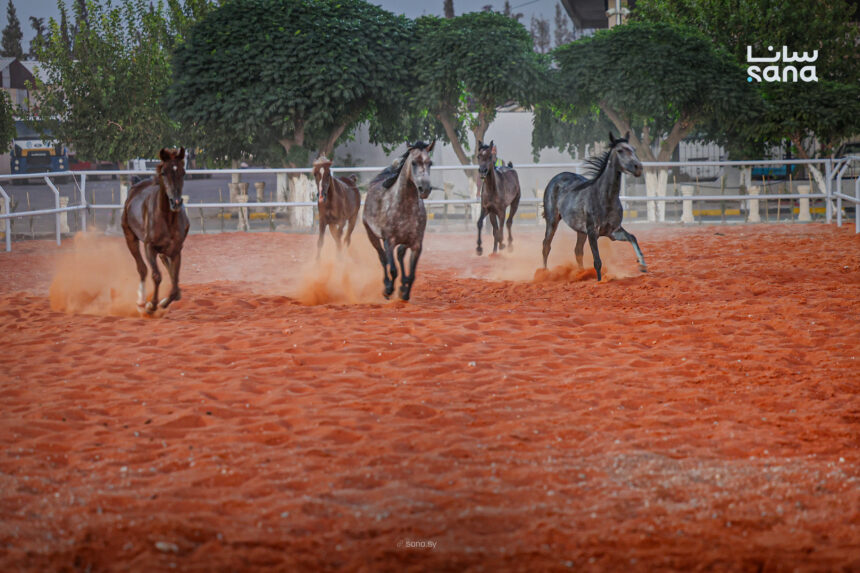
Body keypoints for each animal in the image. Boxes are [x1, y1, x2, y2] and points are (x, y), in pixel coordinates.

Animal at [121, 147, 190, 314]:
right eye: (163, 172)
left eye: (183, 172)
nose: (176, 202)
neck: (166, 219)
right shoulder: (149, 247)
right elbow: (156, 275)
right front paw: (151, 305)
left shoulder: (176, 250)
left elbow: (174, 278)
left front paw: (164, 302)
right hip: (130, 237)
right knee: (142, 269)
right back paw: (141, 300)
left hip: (165, 250)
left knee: (165, 264)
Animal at [362, 141, 435, 301]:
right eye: (413, 162)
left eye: (430, 163)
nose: (425, 189)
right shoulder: (389, 241)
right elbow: (393, 269)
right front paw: (389, 290)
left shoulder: (416, 244)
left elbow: (412, 273)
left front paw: (404, 293)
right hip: (372, 236)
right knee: (383, 259)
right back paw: (387, 285)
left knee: (400, 255)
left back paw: (402, 285)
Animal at [542, 132, 648, 282]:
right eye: (620, 150)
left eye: (633, 149)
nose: (638, 167)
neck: (604, 197)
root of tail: (556, 178)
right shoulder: (592, 232)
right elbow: (597, 261)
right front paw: (599, 281)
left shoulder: (613, 231)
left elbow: (632, 237)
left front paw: (642, 266)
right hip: (552, 221)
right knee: (546, 245)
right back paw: (544, 273)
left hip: (580, 231)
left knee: (577, 250)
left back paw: (580, 273)